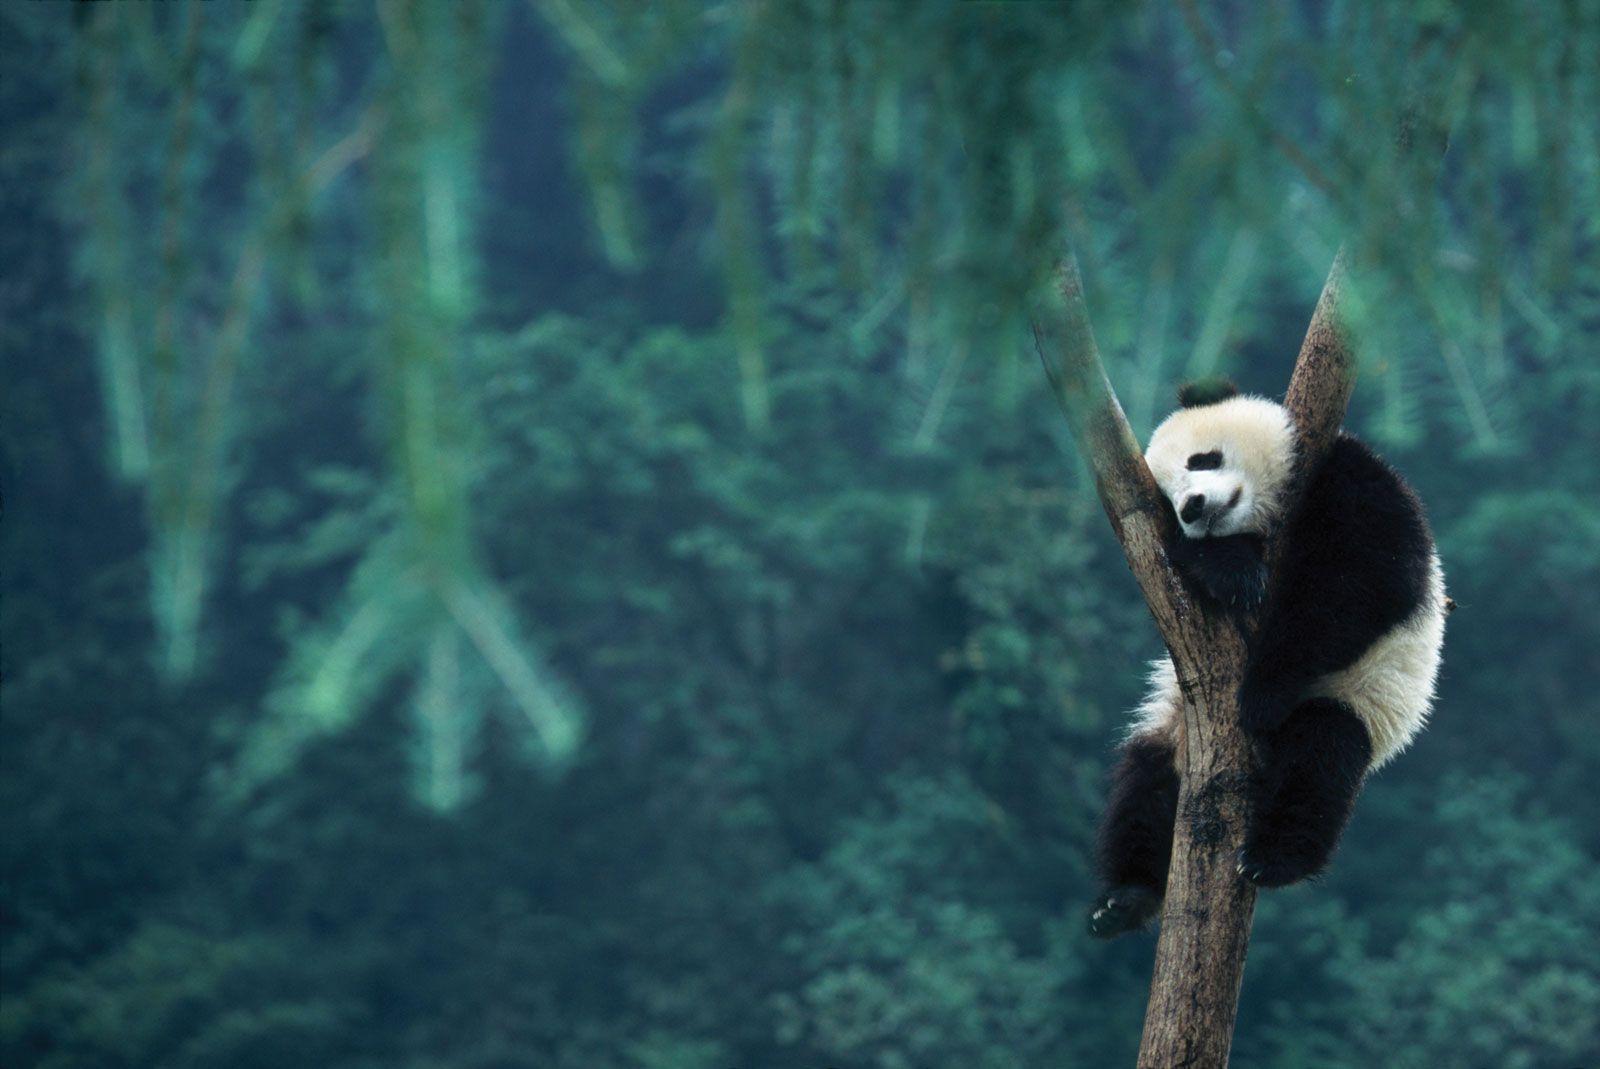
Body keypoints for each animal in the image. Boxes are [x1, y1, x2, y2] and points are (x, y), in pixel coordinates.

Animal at [1087, 380, 1446, 938]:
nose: (1192, 507)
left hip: (1361, 697)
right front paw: (1232, 571)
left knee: (1319, 757)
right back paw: (1128, 897)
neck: (1266, 516)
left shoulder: (1349, 477)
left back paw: (1272, 858)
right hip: (1174, 727)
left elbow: (1360, 585)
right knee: (1146, 783)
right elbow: (1198, 570)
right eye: (1166, 502)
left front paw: (1260, 694)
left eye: (1202, 459)